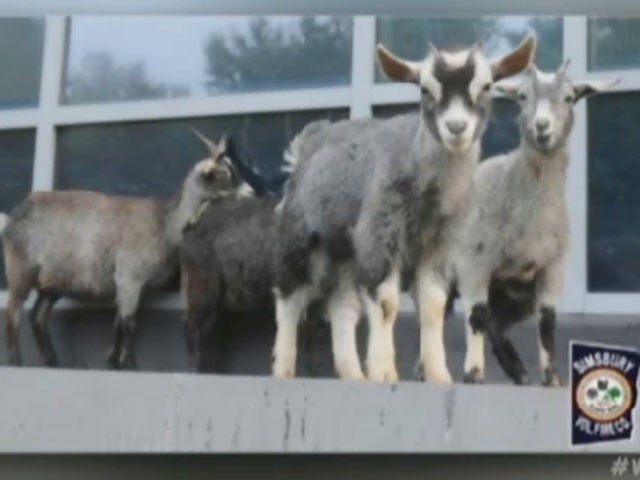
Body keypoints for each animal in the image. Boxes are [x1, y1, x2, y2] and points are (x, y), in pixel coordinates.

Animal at [0, 135, 241, 369]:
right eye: (223, 173)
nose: (249, 191)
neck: (165, 222)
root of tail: (13, 216)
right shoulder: (130, 277)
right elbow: (128, 322)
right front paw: (129, 365)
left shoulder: (128, 284)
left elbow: (119, 321)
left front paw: (114, 362)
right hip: (21, 267)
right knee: (13, 313)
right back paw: (15, 361)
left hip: (53, 282)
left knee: (38, 316)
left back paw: (51, 361)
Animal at [272, 37, 536, 383]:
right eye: (424, 88)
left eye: (487, 85)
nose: (456, 127)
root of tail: (309, 141)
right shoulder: (380, 232)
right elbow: (386, 303)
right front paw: (384, 372)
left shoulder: (441, 244)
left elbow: (433, 305)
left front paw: (438, 374)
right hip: (301, 236)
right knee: (289, 295)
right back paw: (283, 369)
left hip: (347, 254)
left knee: (343, 307)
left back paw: (353, 374)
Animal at [452, 62, 617, 385]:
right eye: (522, 97)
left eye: (569, 97)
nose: (542, 126)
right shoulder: (474, 259)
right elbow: (476, 314)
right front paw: (473, 374)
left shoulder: (551, 267)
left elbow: (548, 322)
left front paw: (552, 379)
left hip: (513, 292)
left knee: (495, 324)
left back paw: (517, 371)